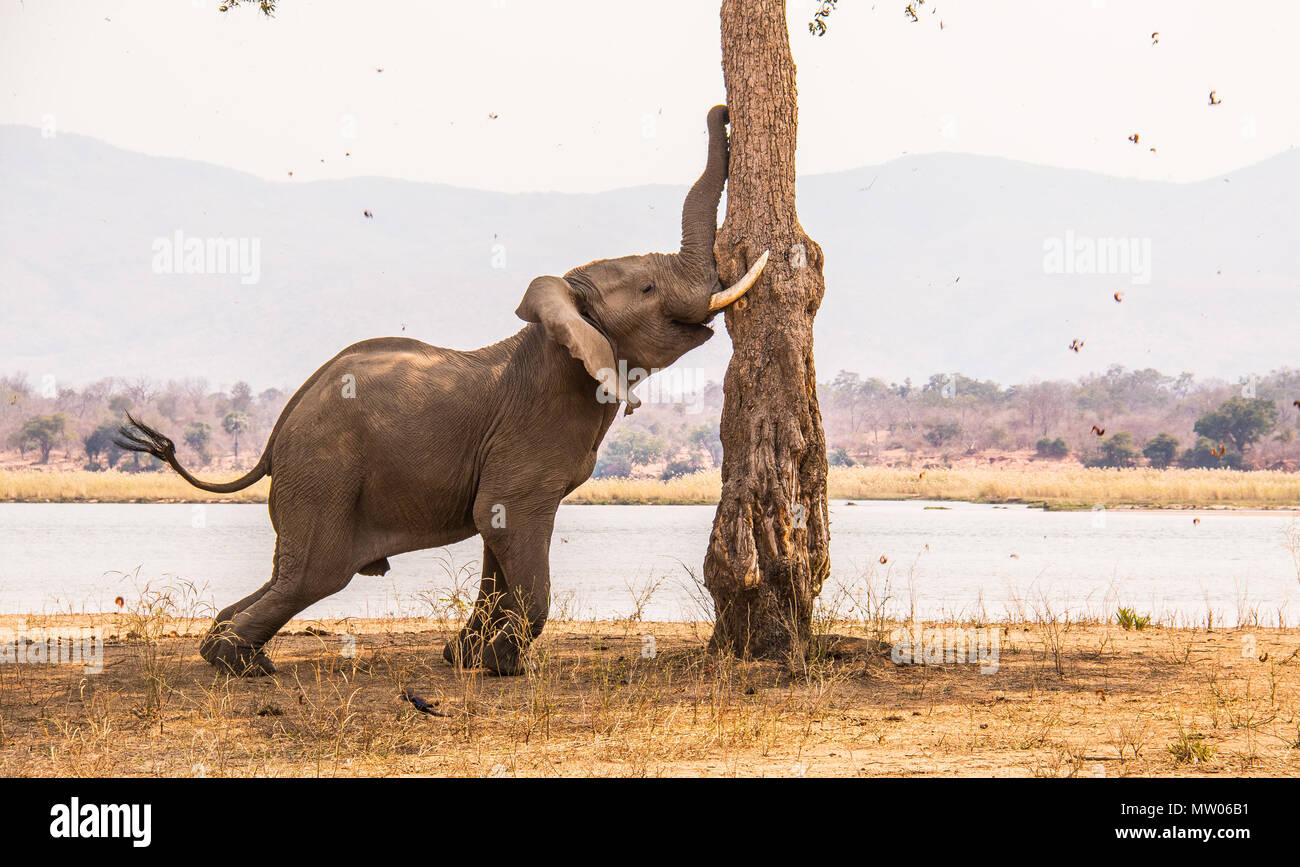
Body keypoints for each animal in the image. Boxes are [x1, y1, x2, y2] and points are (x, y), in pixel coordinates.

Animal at [115, 104, 768, 676]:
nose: (722, 110)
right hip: (324, 474)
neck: (557, 321)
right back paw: (240, 664)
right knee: (312, 576)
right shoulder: (534, 430)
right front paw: (502, 667)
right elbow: (508, 525)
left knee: (287, 575)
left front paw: (468, 659)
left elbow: (494, 539)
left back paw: (224, 648)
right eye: (650, 289)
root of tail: (276, 438)